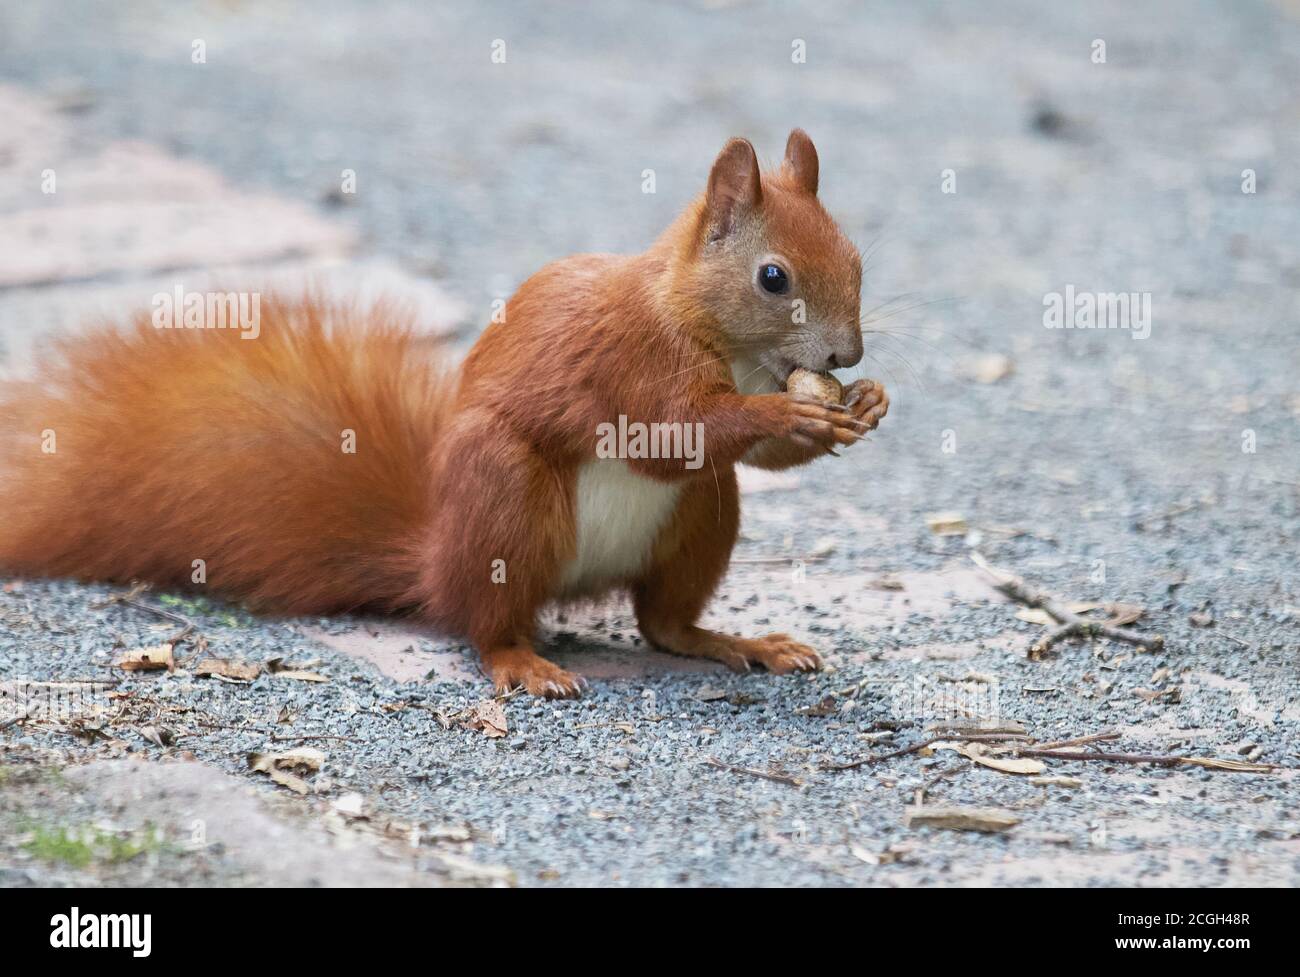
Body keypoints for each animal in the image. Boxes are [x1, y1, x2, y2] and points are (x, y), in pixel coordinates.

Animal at [0, 129, 888, 698]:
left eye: (857, 259)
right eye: (773, 277)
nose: (846, 357)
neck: (723, 342)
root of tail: (433, 562)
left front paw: (866, 407)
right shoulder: (627, 361)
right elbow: (671, 430)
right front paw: (790, 415)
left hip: (702, 514)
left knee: (664, 620)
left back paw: (735, 642)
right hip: (504, 494)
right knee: (486, 623)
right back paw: (520, 662)